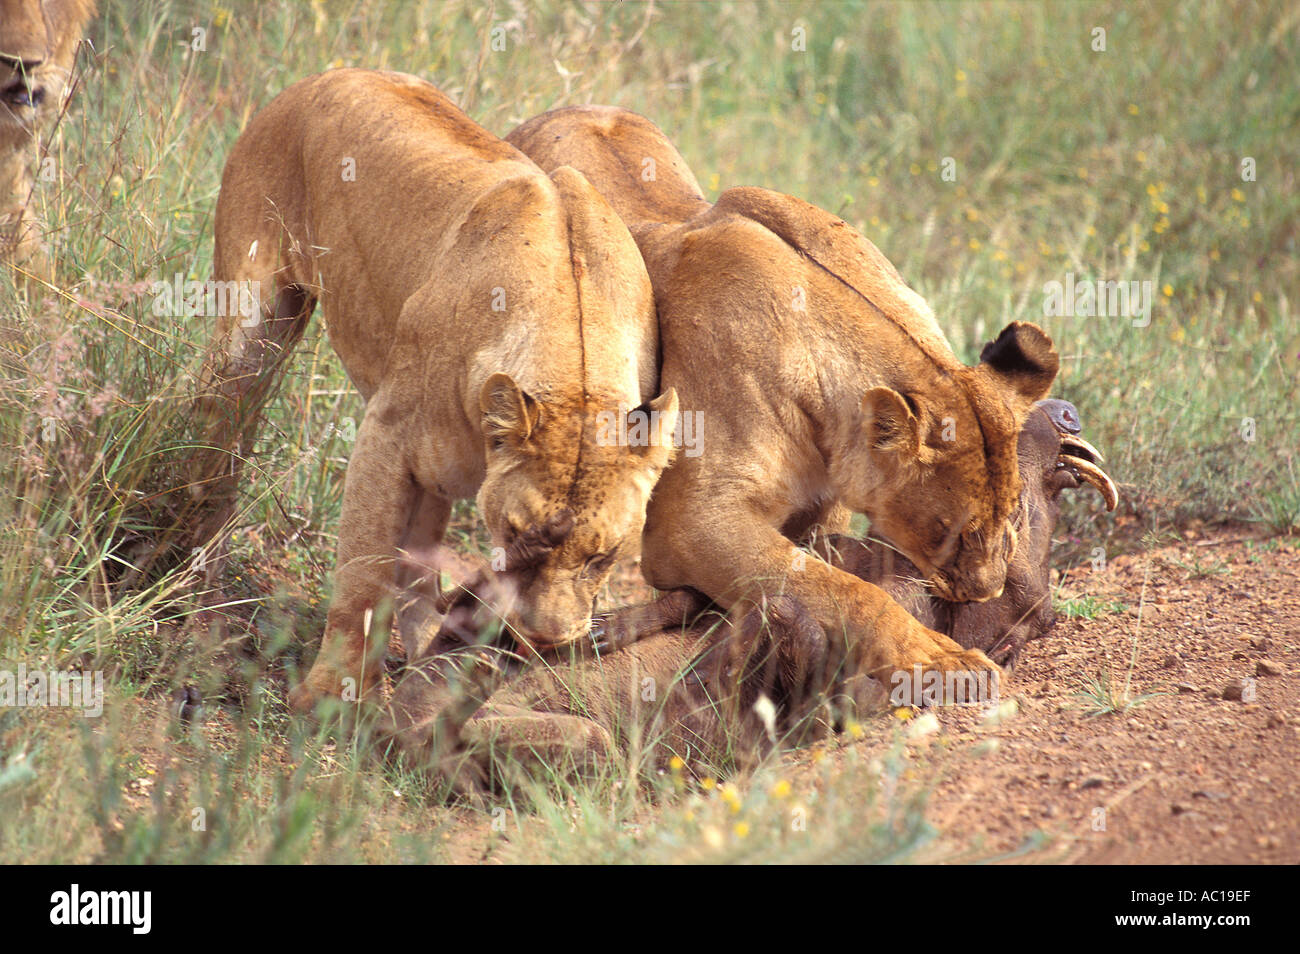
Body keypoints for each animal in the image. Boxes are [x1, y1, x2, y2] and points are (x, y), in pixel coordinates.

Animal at [190, 71, 677, 712]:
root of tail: (330, 73)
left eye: (603, 556)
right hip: (251, 322)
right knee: (219, 422)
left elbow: (410, 562)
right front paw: (332, 693)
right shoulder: (385, 431)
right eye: (515, 535)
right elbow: (364, 571)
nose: (545, 640)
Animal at [505, 105, 1060, 691]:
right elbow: (839, 588)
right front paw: (941, 658)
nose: (986, 591)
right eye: (949, 529)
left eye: (1014, 513)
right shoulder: (692, 522)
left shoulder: (824, 507)